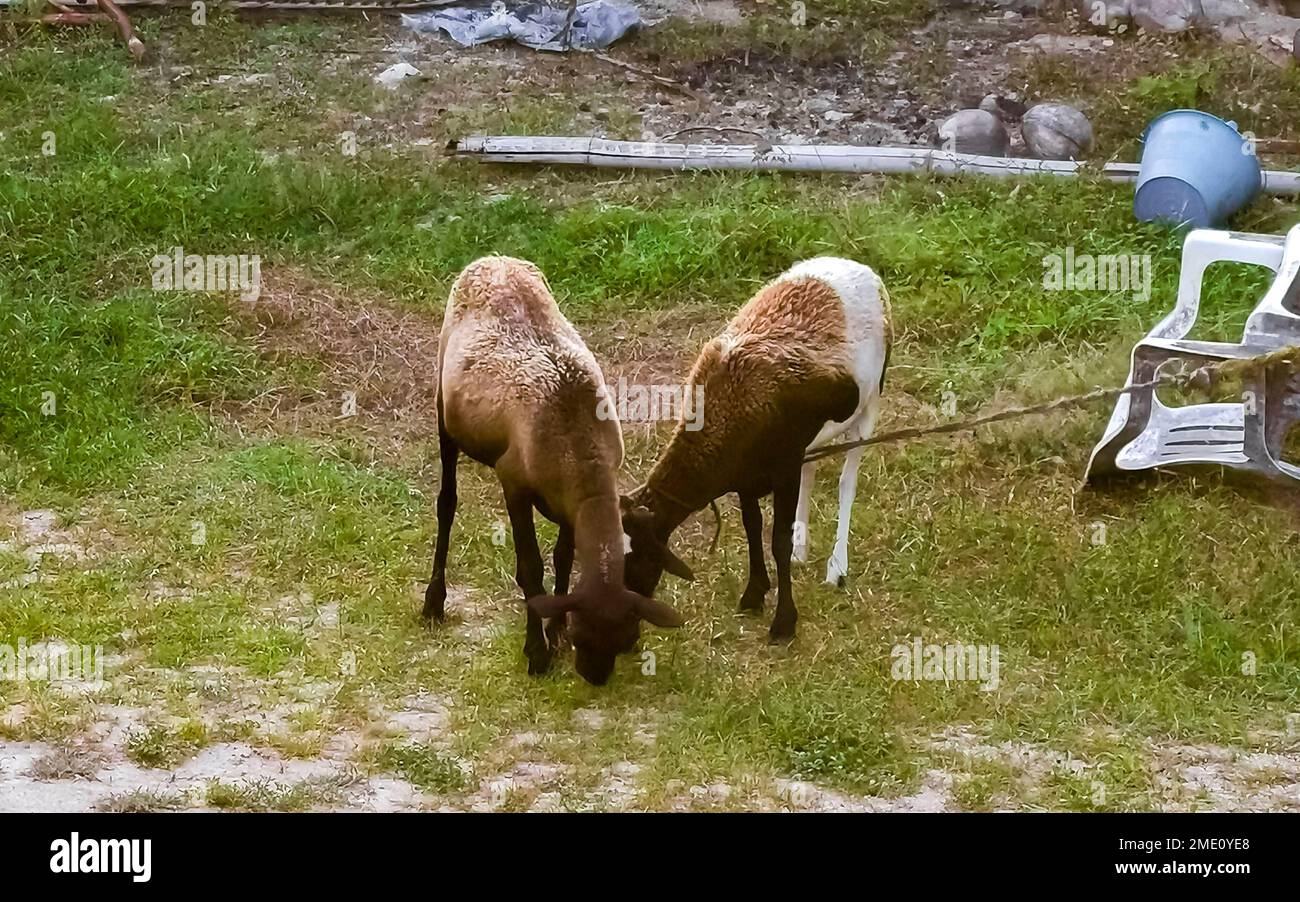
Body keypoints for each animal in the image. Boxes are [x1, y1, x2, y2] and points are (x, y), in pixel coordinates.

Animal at [424, 256, 683, 684]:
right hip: (445, 411)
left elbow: (563, 556)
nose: (595, 677)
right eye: (584, 632)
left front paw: (555, 630)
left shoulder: (570, 500)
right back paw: (433, 602)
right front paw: (538, 653)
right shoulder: (513, 481)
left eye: (624, 636)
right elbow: (531, 568)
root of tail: (493, 257)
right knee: (447, 503)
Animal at [621, 257, 891, 641]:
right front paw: (754, 594)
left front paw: (784, 623)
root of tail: (853, 265)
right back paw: (803, 548)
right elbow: (752, 526)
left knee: (847, 482)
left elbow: (777, 539)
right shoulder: (747, 475)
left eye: (636, 558)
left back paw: (837, 567)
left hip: (869, 405)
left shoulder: (783, 466)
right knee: (812, 471)